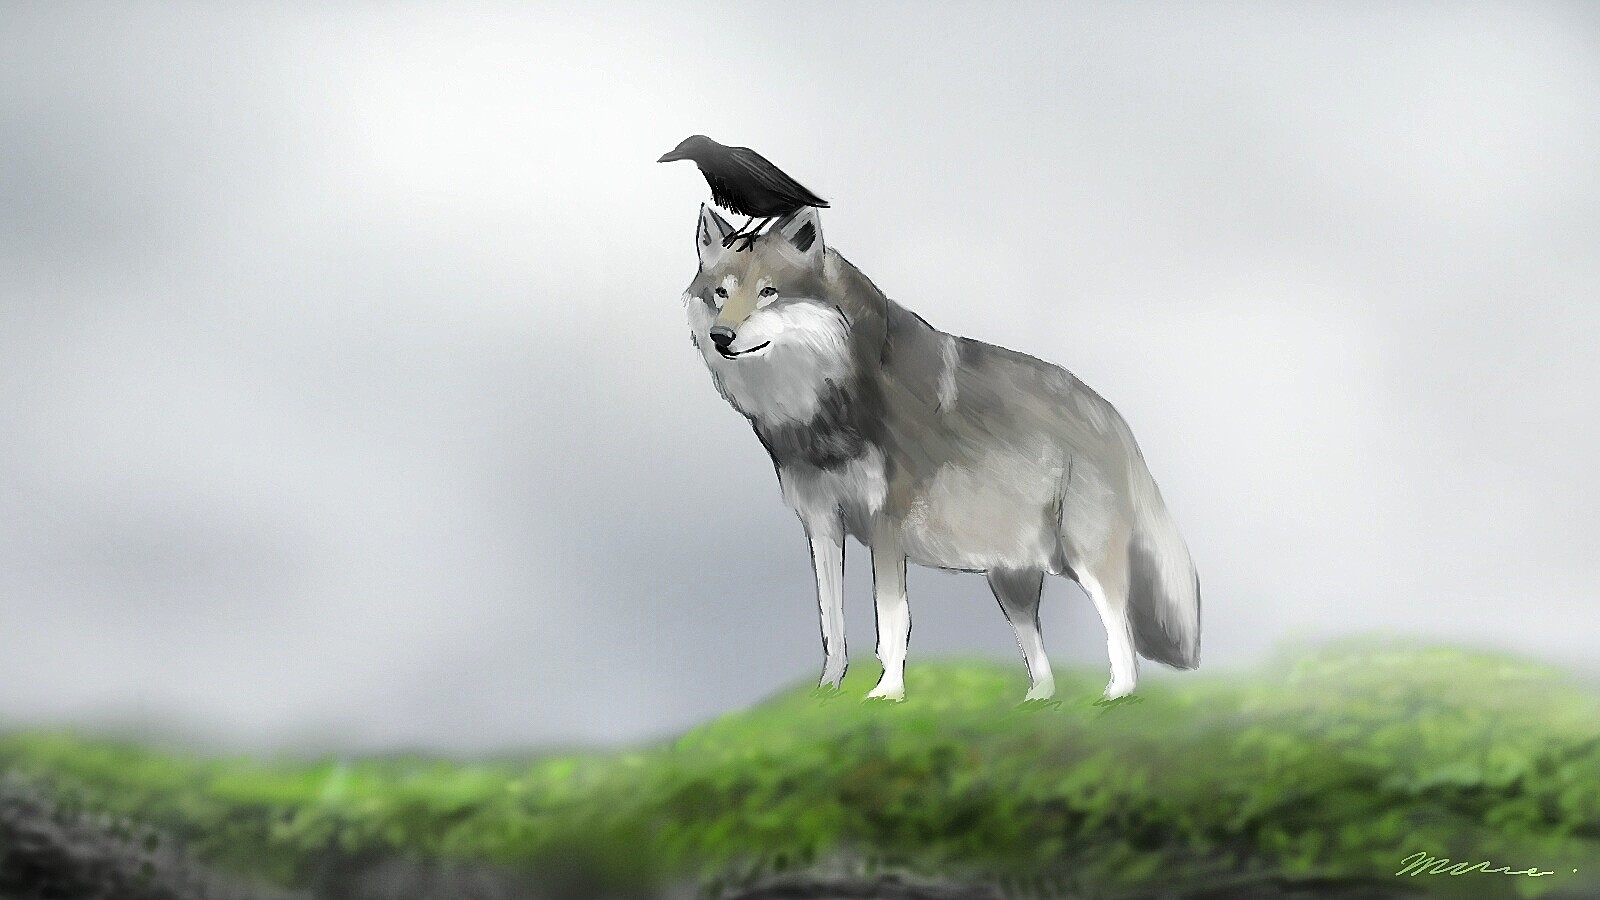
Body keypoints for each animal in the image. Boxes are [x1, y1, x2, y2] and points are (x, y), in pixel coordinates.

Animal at [681, 205, 1200, 702]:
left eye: (768, 291)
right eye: (722, 293)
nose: (721, 337)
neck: (822, 406)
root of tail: (1114, 418)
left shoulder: (885, 524)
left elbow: (891, 622)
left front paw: (886, 693)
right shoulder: (822, 524)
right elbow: (832, 625)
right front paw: (825, 694)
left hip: (1084, 559)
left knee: (1120, 628)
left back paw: (1114, 697)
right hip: (1009, 579)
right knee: (1037, 647)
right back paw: (1037, 700)